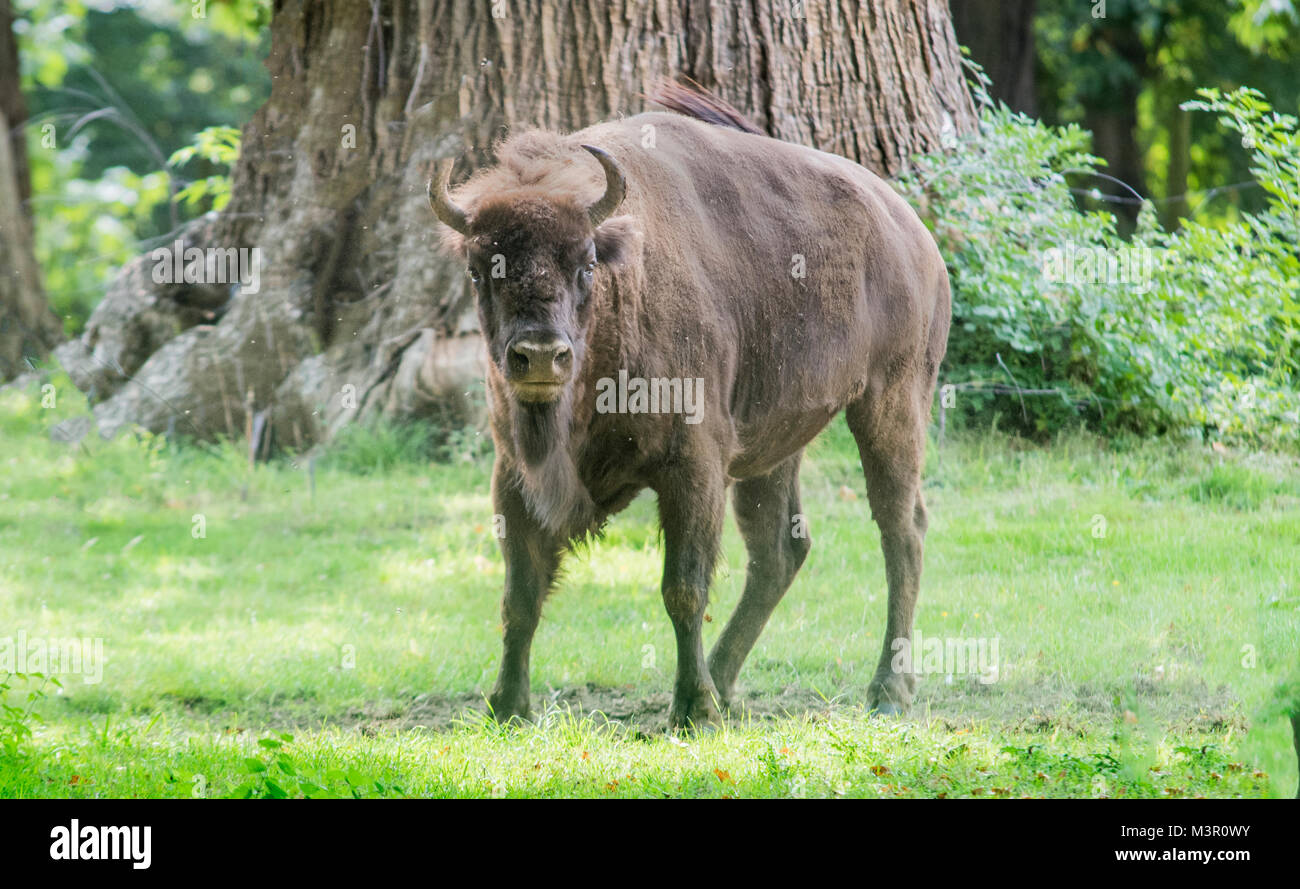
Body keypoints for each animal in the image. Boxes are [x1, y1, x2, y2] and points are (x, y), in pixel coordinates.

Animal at [430, 81, 950, 729]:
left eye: (586, 264)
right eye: (480, 270)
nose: (541, 355)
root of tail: (914, 235)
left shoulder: (693, 466)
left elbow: (683, 587)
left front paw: (692, 710)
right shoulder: (513, 477)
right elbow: (520, 595)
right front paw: (506, 707)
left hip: (891, 404)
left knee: (901, 531)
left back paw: (886, 692)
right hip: (774, 444)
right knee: (780, 551)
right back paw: (726, 681)